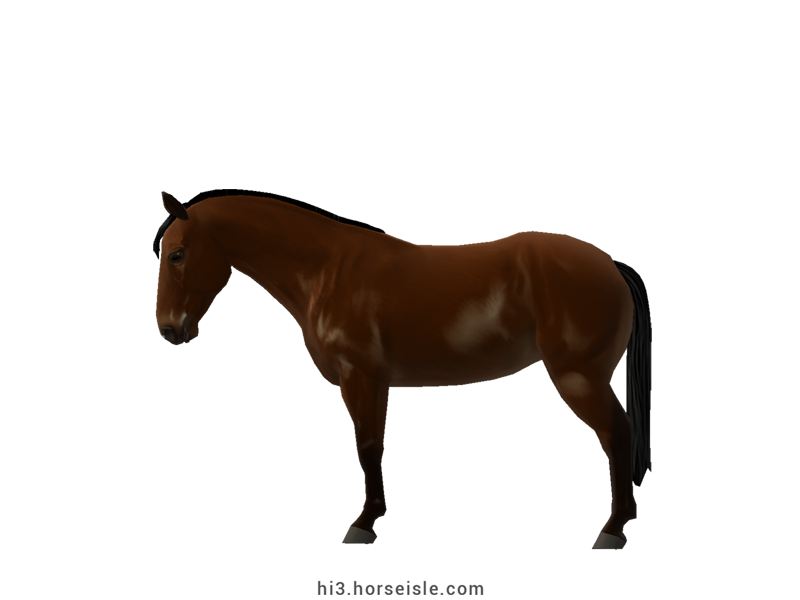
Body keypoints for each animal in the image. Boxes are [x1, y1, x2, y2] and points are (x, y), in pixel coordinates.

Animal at [156, 193, 651, 539]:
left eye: (177, 254)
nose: (167, 328)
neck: (327, 270)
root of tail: (609, 267)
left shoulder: (360, 374)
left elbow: (367, 444)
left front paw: (366, 519)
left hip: (580, 375)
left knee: (616, 434)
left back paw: (613, 527)